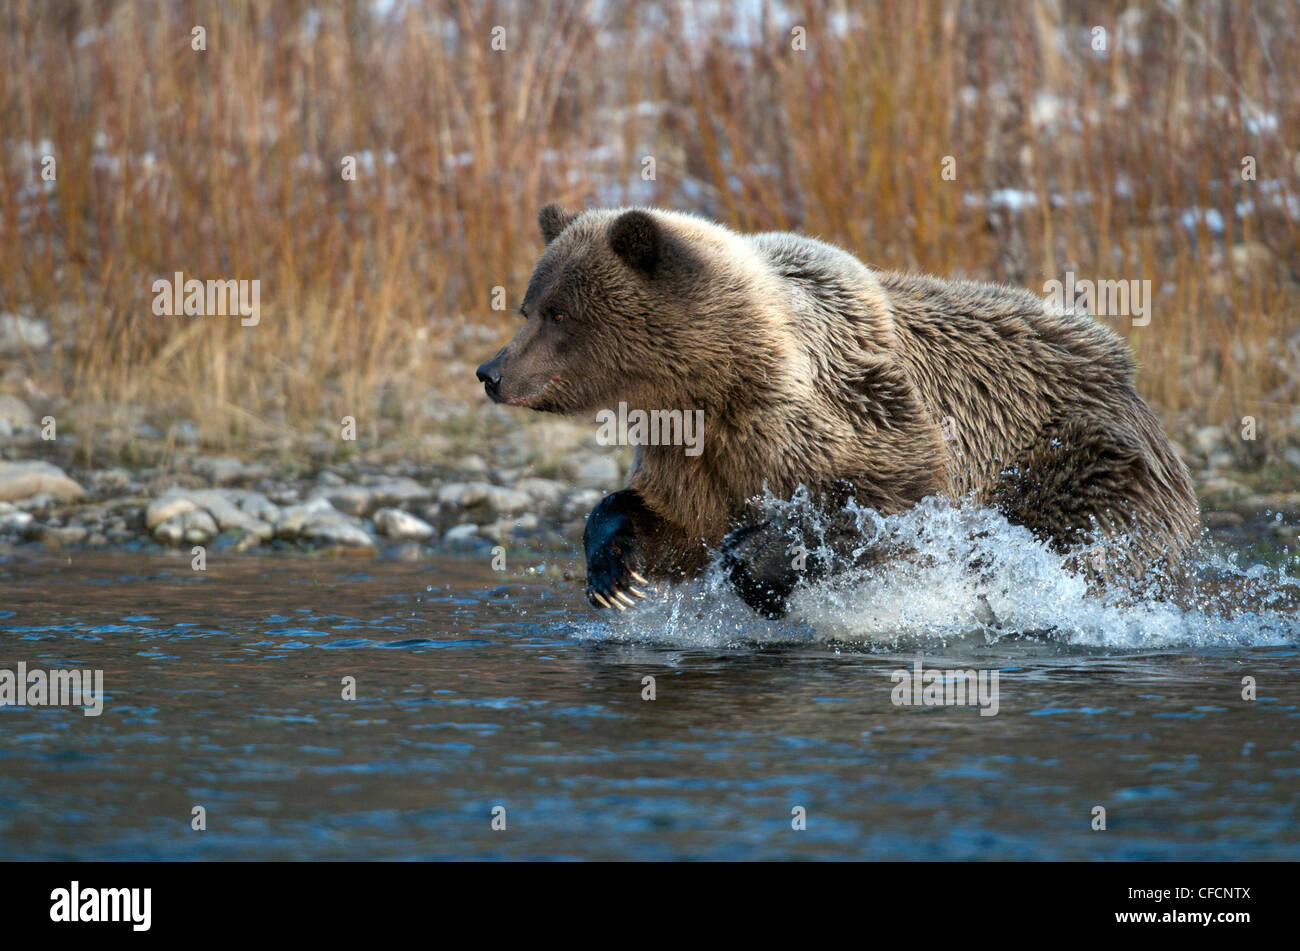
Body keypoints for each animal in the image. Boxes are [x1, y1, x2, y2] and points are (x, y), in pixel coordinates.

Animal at [476, 204, 1200, 617]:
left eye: (557, 312)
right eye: (529, 305)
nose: (491, 373)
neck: (722, 383)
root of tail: (1120, 364)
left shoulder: (861, 417)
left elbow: (883, 509)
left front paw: (759, 567)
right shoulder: (692, 449)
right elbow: (676, 523)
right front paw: (613, 570)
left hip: (1077, 458)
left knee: (1096, 547)